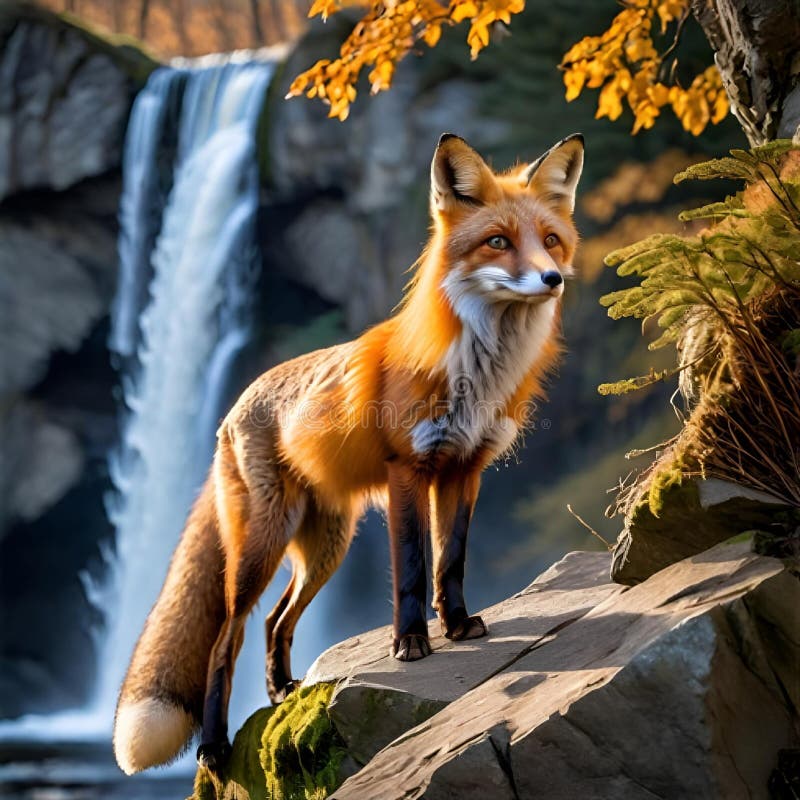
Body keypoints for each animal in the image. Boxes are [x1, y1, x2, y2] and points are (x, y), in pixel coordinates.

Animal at [113, 132, 584, 775]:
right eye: (498, 242)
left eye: (551, 240)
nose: (551, 278)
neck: (473, 374)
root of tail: (232, 408)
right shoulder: (408, 471)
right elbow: (412, 567)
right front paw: (411, 642)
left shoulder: (464, 470)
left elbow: (451, 560)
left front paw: (458, 625)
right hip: (261, 545)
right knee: (225, 640)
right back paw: (214, 745)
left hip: (325, 548)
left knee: (275, 620)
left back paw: (282, 691)